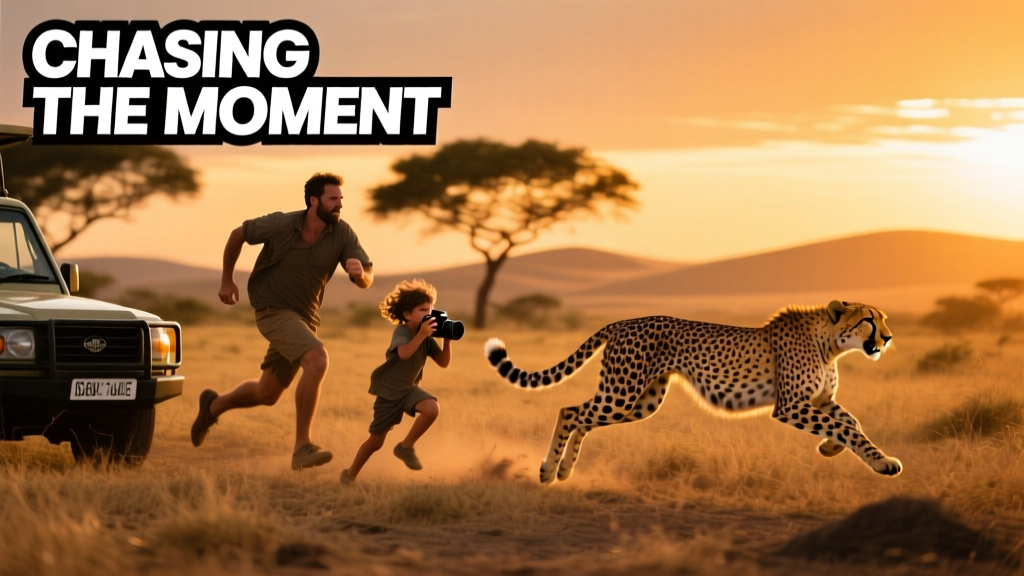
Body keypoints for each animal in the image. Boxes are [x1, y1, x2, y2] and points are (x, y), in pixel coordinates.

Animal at [483, 300, 900, 484]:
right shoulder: (792, 406)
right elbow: (847, 427)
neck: (830, 343)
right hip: (622, 393)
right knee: (569, 411)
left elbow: (850, 422)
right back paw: (546, 470)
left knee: (581, 416)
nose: (888, 338)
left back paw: (566, 470)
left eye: (883, 319)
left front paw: (830, 448)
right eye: (868, 320)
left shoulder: (820, 401)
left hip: (639, 402)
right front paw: (883, 463)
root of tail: (622, 321)